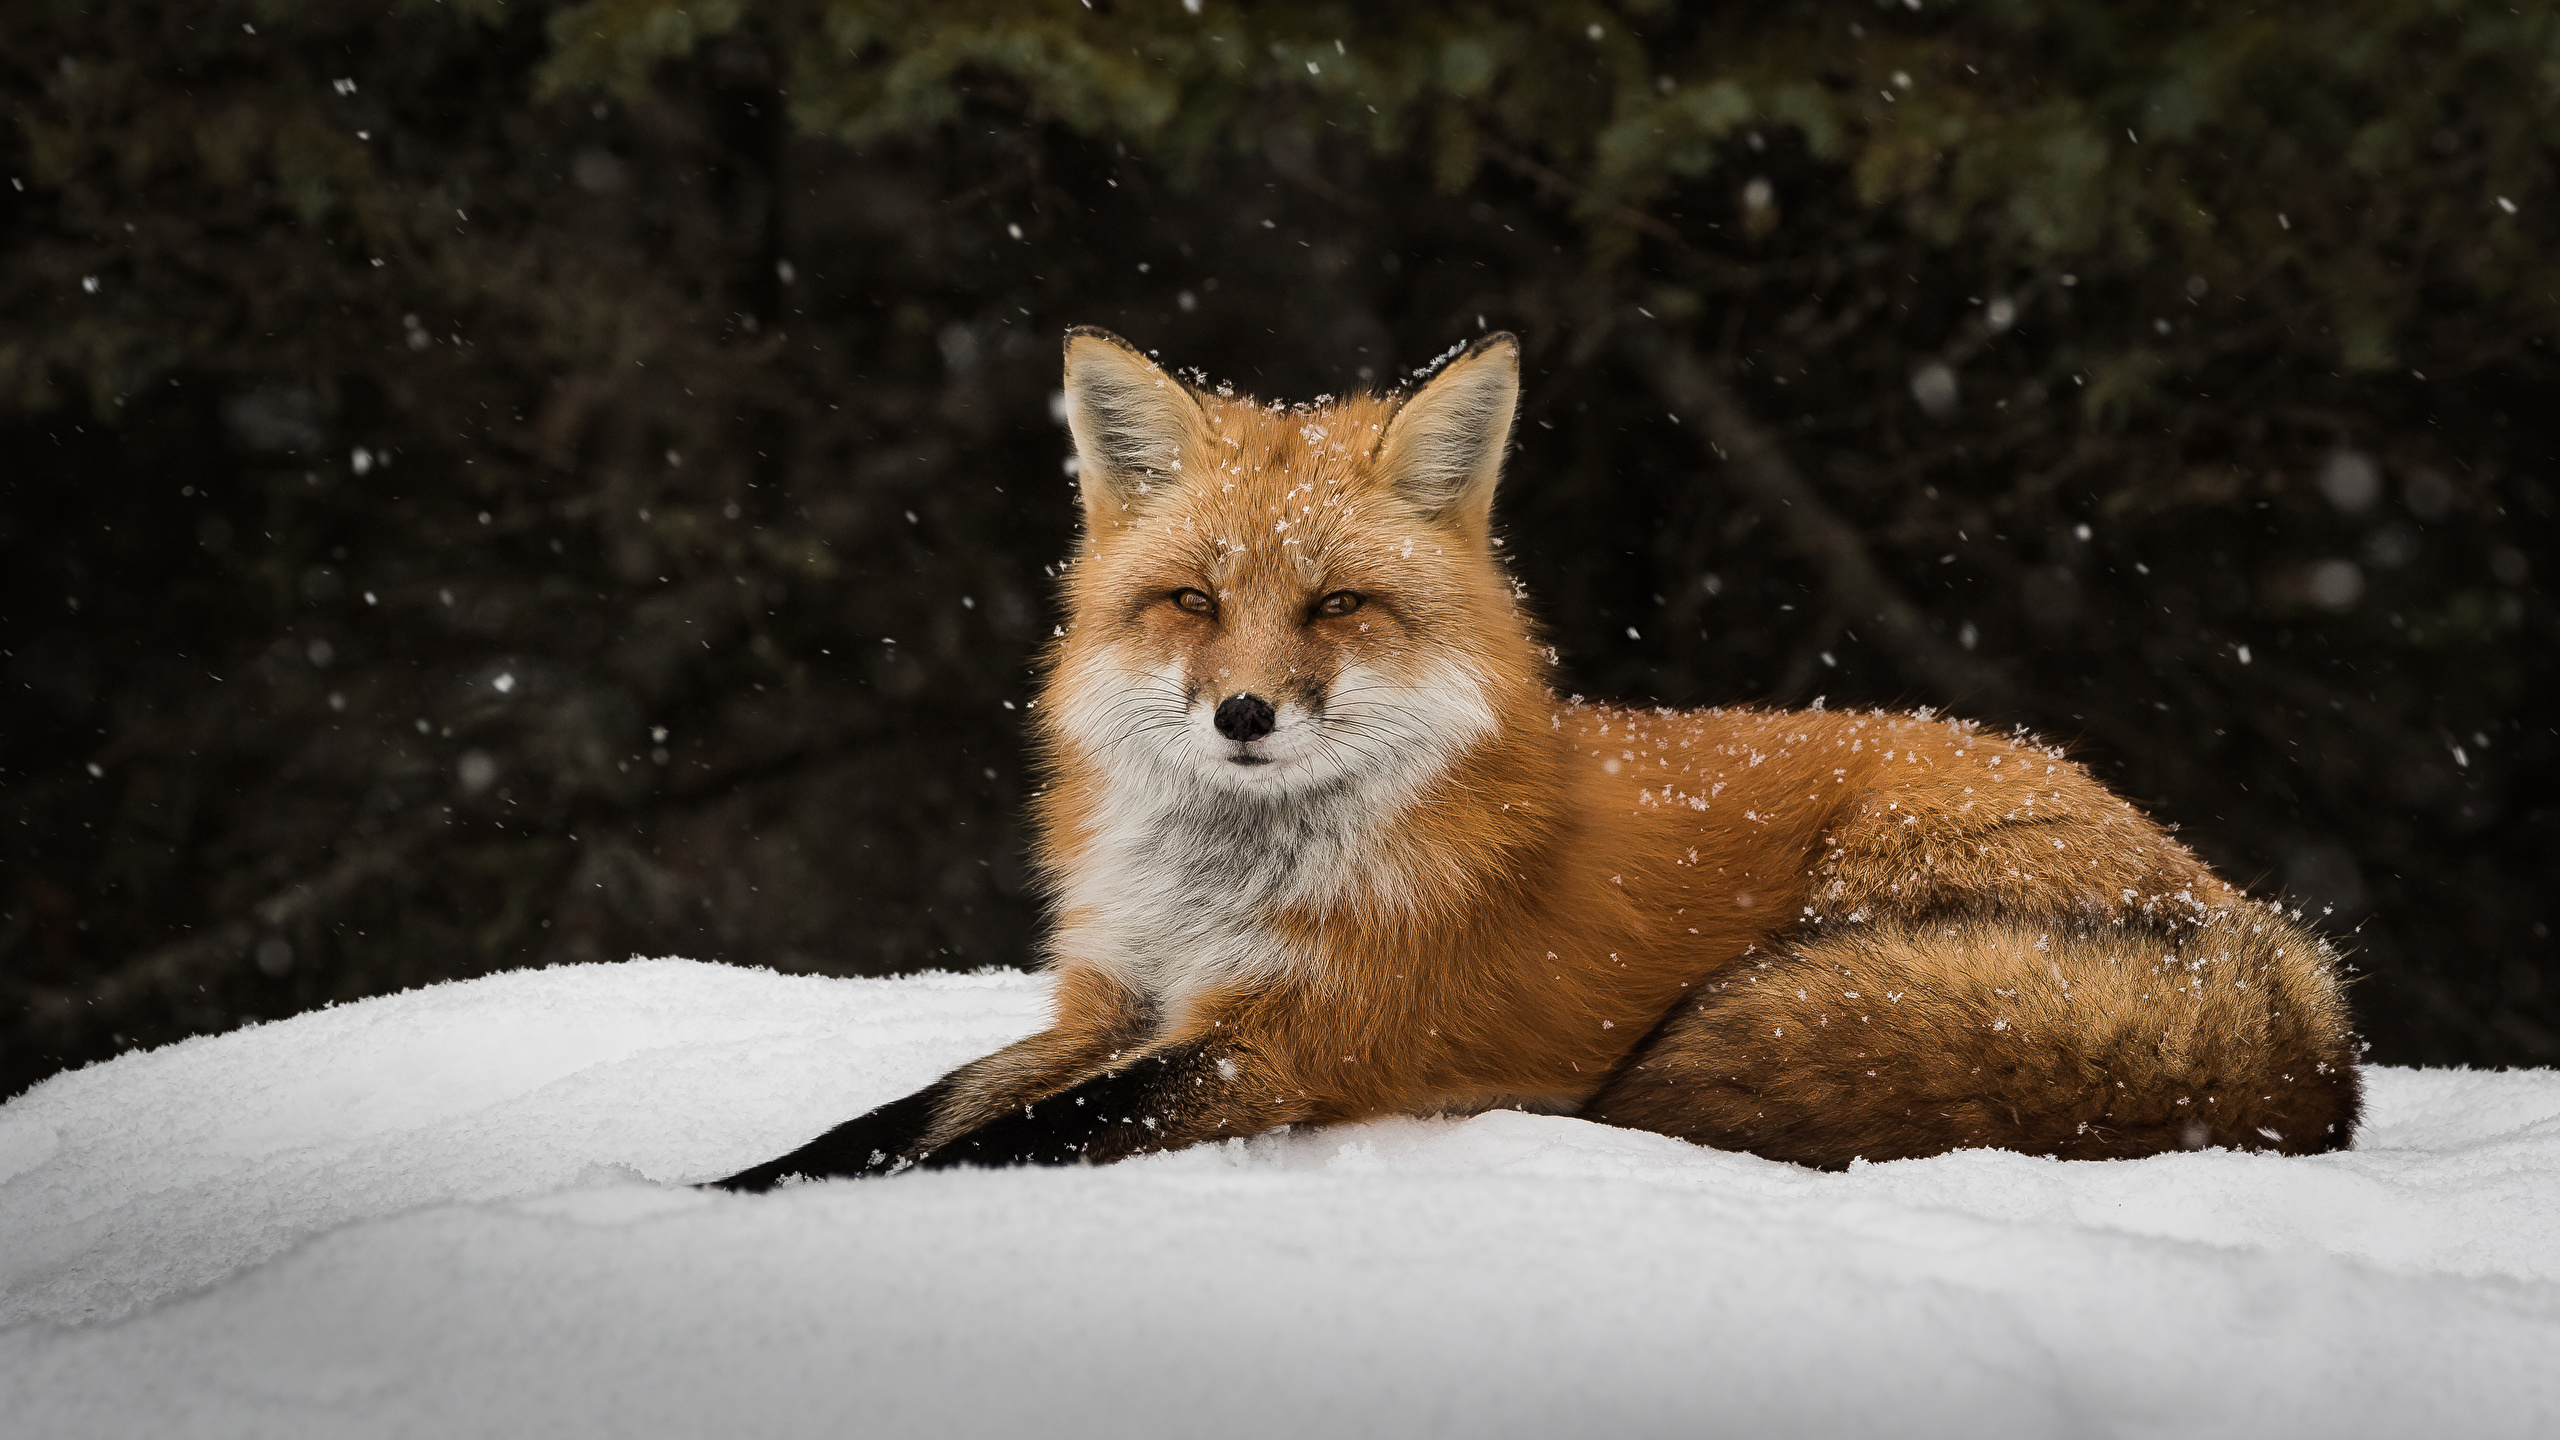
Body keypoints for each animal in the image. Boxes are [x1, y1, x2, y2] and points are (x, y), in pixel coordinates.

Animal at [715, 327, 2361, 1188]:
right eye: (1192, 602)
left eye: (1337, 607)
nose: (1243, 715)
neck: (1226, 889)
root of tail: (2281, 968)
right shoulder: (1112, 1002)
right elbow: (895, 1120)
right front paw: (714, 1189)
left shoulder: (1284, 1048)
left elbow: (990, 1147)